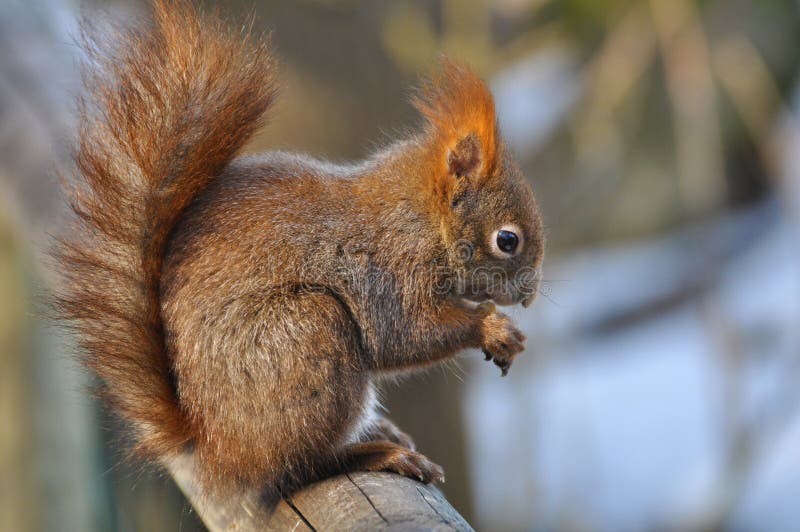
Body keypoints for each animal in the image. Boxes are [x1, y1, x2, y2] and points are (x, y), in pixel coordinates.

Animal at [53, 0, 544, 496]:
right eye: (507, 240)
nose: (529, 296)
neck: (423, 219)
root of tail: (213, 442)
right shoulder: (388, 269)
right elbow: (406, 334)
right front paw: (493, 330)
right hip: (308, 334)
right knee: (295, 466)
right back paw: (376, 453)